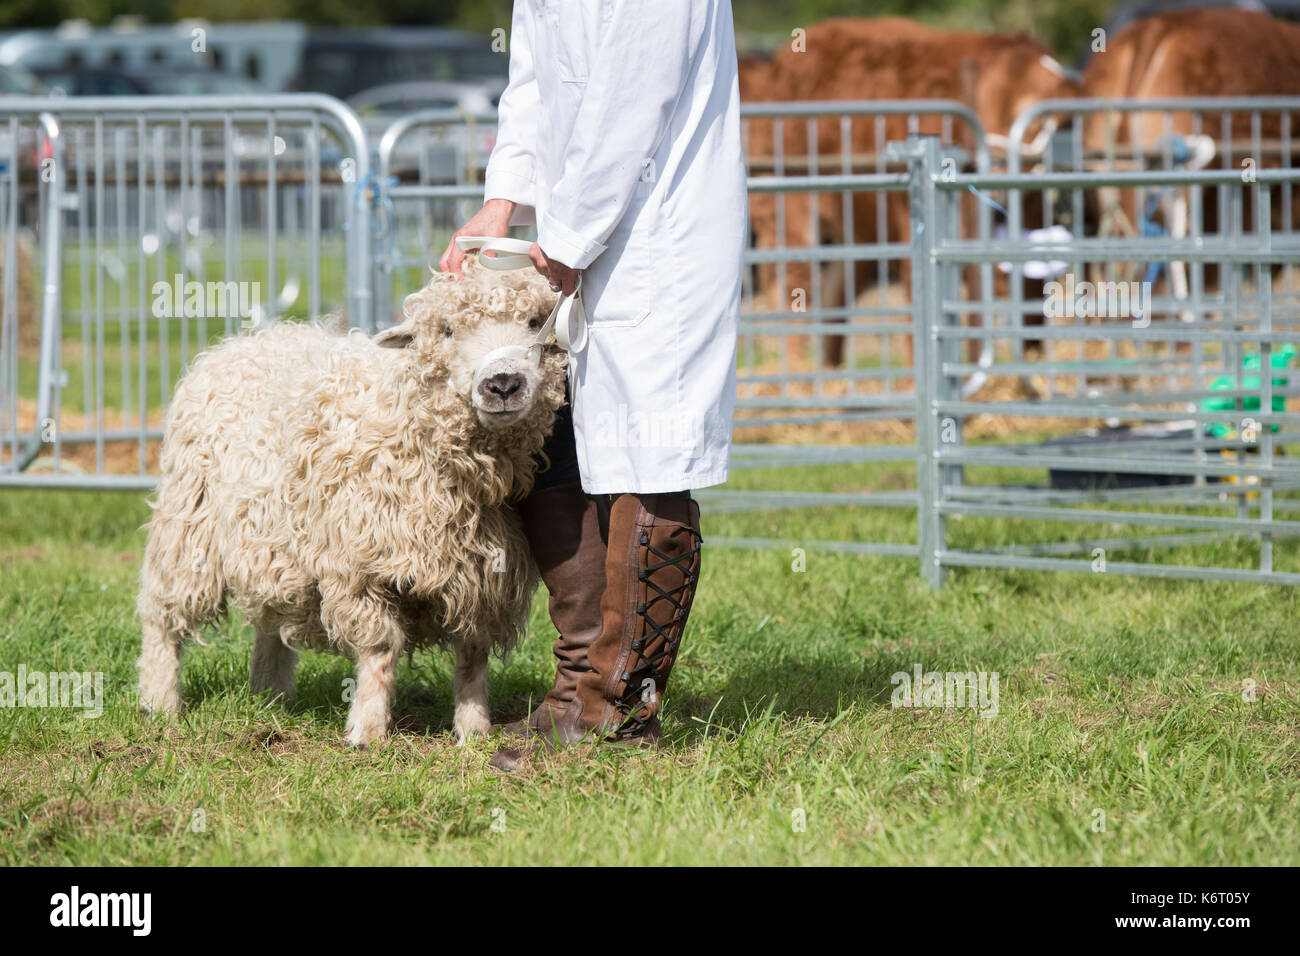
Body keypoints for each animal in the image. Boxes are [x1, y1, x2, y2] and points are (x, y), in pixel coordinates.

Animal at [136, 257, 568, 746]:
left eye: (536, 322)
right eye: (446, 329)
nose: (503, 383)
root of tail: (249, 340)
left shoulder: (482, 574)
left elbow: (472, 657)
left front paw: (473, 732)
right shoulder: (360, 566)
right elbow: (381, 648)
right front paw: (369, 731)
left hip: (272, 540)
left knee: (271, 615)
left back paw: (271, 695)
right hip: (189, 524)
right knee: (163, 614)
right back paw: (160, 701)